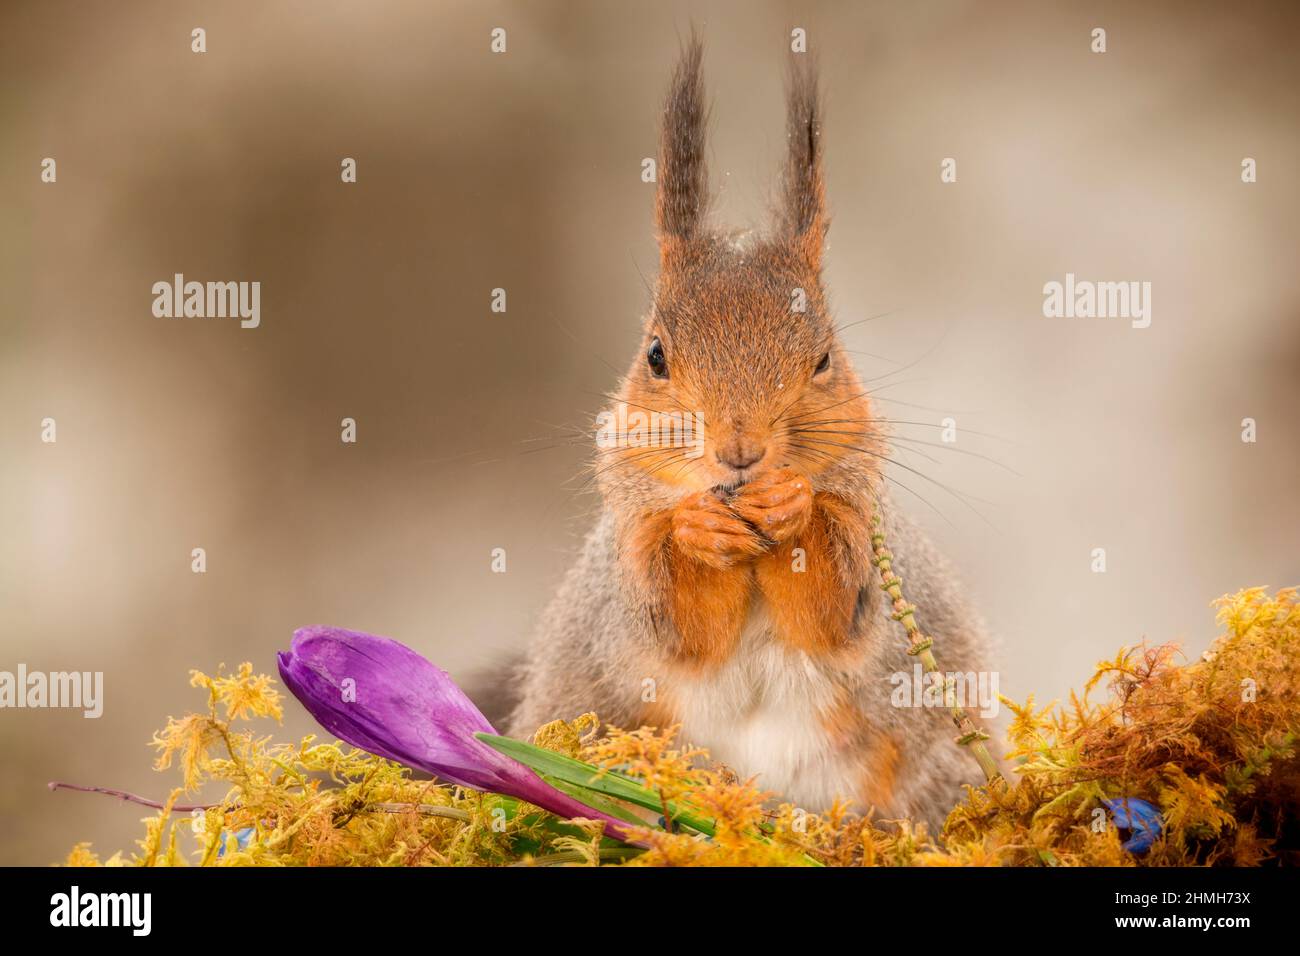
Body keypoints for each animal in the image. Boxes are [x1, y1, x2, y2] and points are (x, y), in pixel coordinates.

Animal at [489, 38, 992, 829]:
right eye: (655, 355)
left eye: (824, 359)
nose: (741, 453)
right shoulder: (632, 582)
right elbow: (681, 620)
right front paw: (699, 530)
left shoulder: (868, 578)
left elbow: (831, 605)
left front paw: (792, 506)